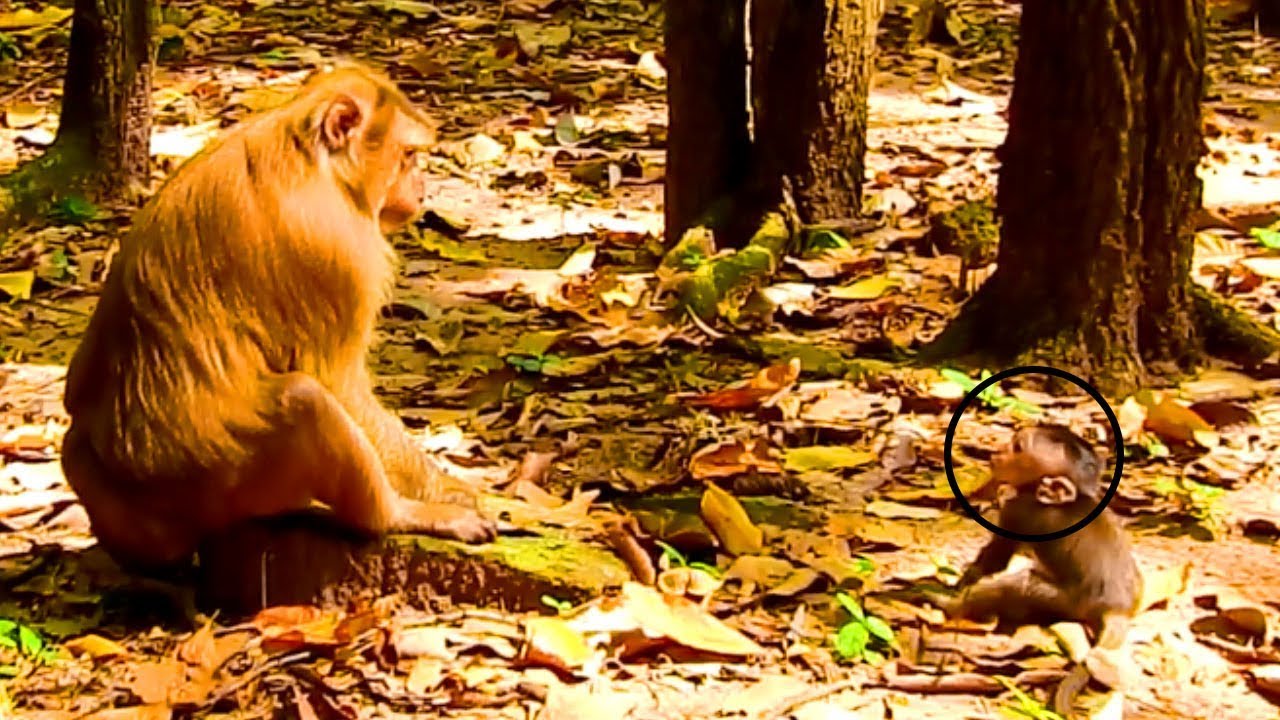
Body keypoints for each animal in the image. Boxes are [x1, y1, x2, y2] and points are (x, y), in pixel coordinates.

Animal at [60, 62, 497, 575]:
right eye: (408, 156)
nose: (421, 186)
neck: (314, 159)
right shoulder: (339, 250)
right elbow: (338, 382)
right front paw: (450, 492)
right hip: (227, 481)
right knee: (306, 399)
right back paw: (392, 515)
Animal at [945, 425, 1141, 717]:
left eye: (1017, 447)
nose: (998, 451)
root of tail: (1118, 609)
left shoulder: (1019, 509)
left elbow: (998, 557)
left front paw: (960, 584)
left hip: (1069, 603)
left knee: (1016, 586)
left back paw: (947, 606)